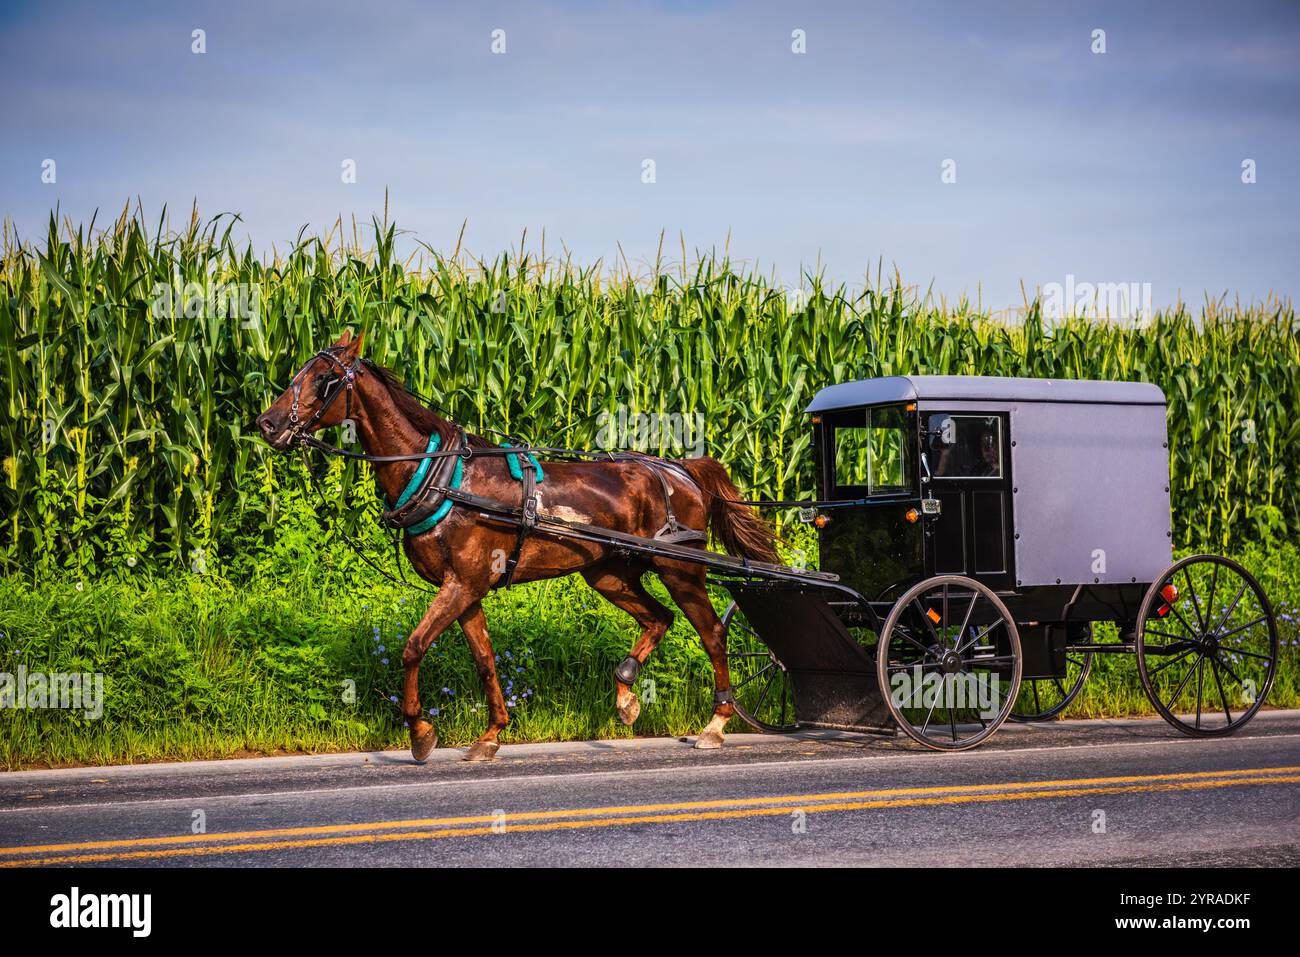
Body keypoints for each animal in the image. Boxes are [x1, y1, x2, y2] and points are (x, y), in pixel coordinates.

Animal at [256, 330, 780, 762]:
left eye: (323, 379)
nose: (266, 423)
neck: (443, 474)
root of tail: (682, 469)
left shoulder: (462, 583)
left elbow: (412, 648)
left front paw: (421, 733)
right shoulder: (467, 589)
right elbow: (485, 661)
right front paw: (491, 735)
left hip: (680, 568)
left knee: (713, 634)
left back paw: (715, 724)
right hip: (608, 572)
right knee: (659, 618)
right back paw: (627, 692)